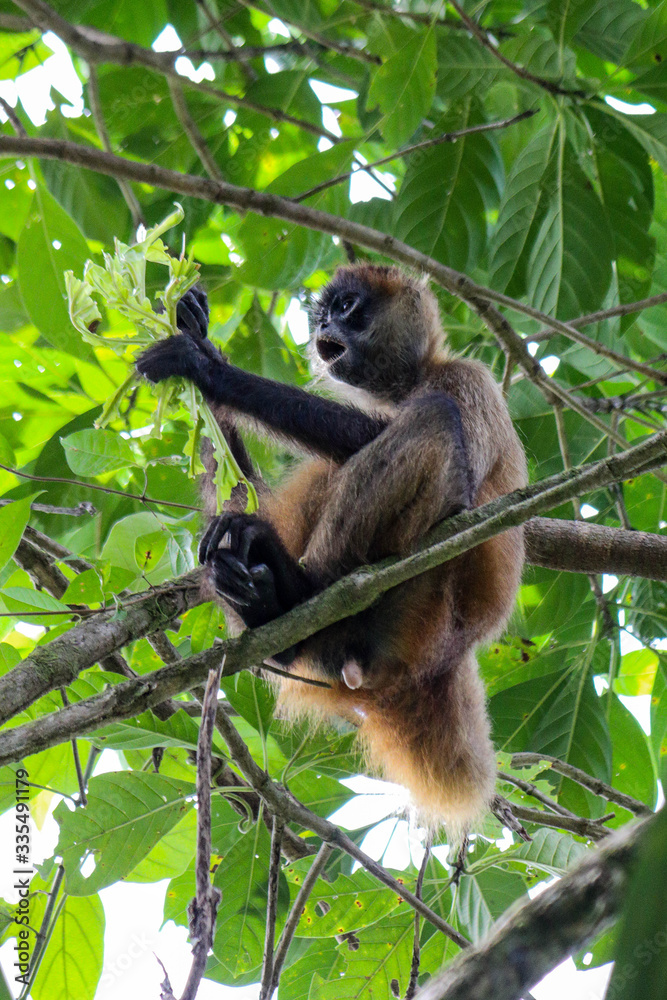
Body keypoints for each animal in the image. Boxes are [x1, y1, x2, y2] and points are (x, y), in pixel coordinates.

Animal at [136, 265, 527, 829]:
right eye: (322, 314)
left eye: (347, 307)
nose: (324, 329)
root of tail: (444, 660)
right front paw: (194, 325)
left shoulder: (469, 378)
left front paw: (203, 364)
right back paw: (268, 603)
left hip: (425, 604)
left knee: (434, 418)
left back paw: (298, 588)